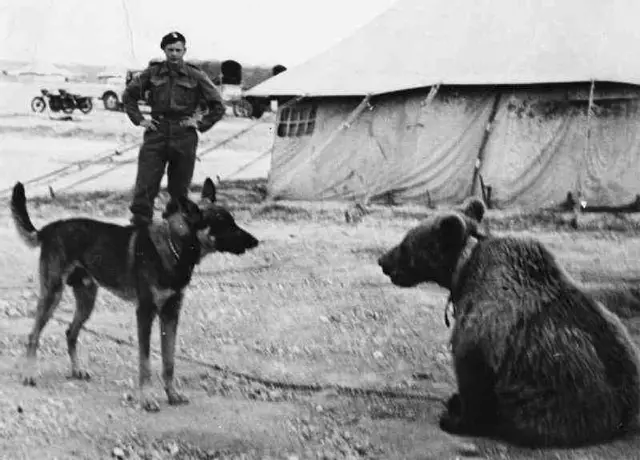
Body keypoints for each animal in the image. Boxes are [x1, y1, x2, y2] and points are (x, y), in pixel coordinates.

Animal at [11, 178, 258, 412]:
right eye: (224, 225)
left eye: (233, 221)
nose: (255, 242)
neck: (174, 246)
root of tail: (49, 229)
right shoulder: (145, 314)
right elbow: (145, 363)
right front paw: (147, 399)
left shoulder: (171, 314)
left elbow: (169, 361)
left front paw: (172, 394)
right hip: (52, 296)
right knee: (33, 335)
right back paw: (29, 374)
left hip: (87, 301)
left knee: (70, 333)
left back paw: (77, 369)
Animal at [376, 199, 640, 448]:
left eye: (405, 243)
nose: (382, 260)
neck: (463, 268)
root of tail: (626, 413)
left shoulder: (484, 328)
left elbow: (472, 370)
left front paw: (456, 419)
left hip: (547, 402)